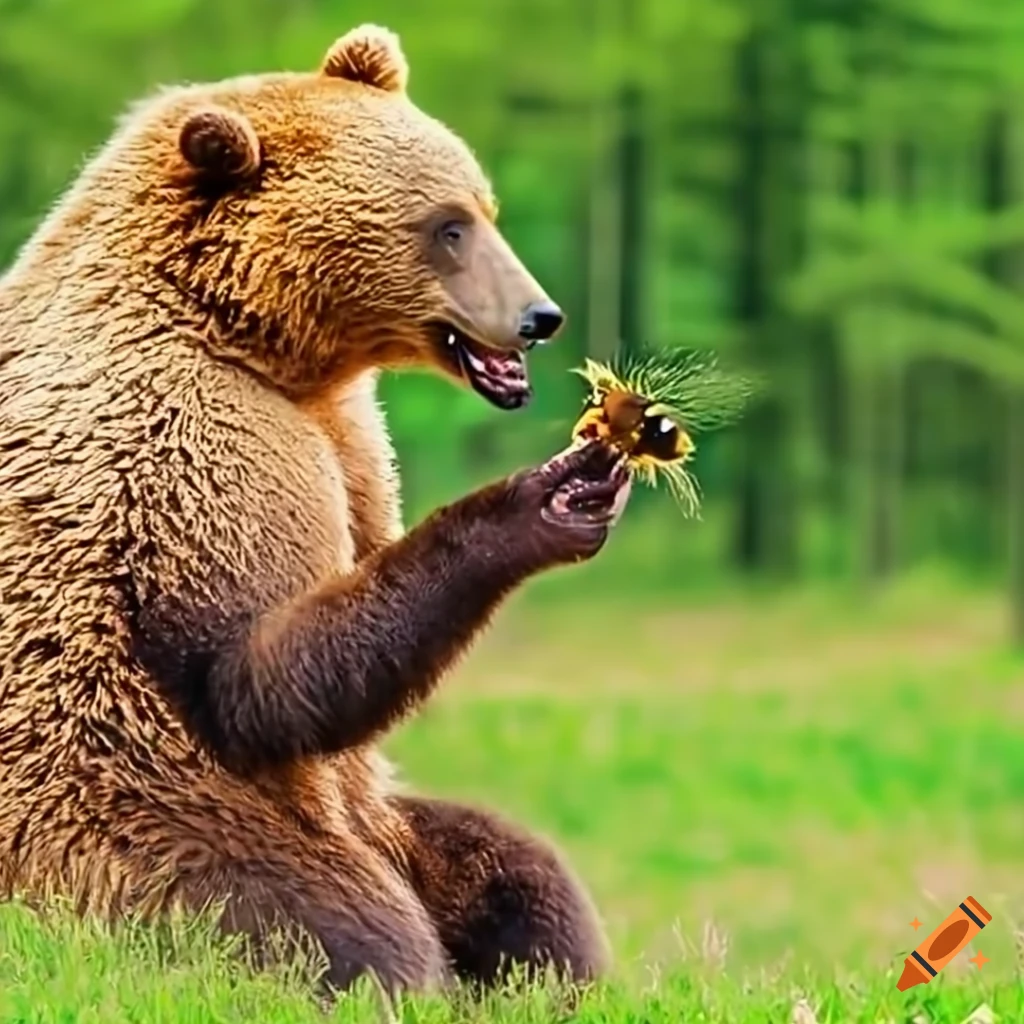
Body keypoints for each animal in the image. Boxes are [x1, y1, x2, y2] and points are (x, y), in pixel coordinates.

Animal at [0, 23, 632, 997]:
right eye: (446, 228)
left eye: (483, 207)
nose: (539, 316)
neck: (258, 342)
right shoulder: (194, 442)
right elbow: (249, 675)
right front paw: (535, 506)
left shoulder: (349, 440)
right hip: (110, 826)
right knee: (310, 913)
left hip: (384, 824)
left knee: (516, 865)